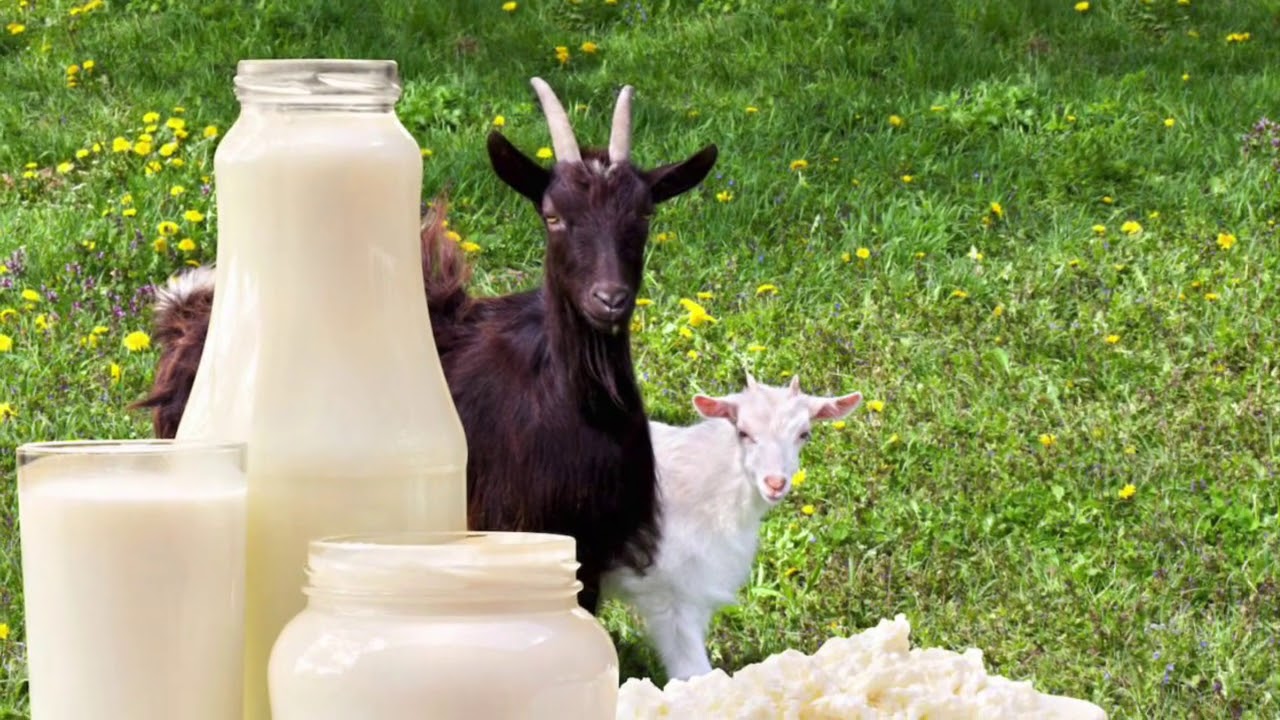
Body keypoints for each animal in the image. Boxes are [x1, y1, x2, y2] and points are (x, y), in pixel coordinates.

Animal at [133, 78, 718, 614]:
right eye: (553, 215)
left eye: (644, 214)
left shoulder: (590, 540)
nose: (610, 299)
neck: (576, 400)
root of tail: (187, 312)